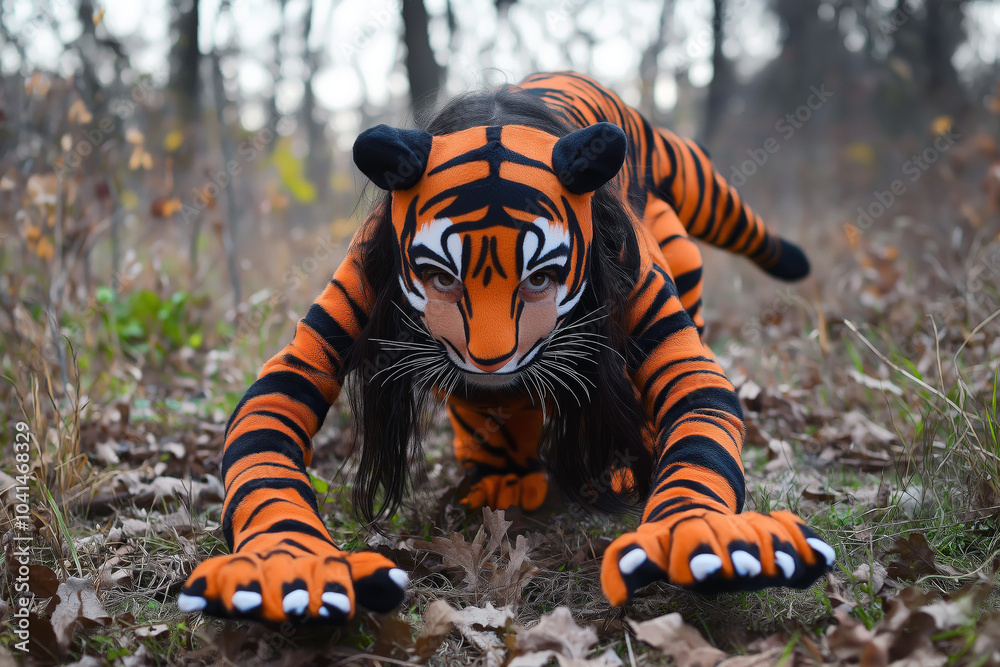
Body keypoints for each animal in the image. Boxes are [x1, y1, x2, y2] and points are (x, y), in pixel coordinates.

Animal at [179, 71, 833, 623]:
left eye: (540, 277)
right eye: (440, 276)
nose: (490, 357)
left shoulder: (643, 284)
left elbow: (700, 403)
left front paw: (703, 537)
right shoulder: (357, 281)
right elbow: (270, 409)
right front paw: (289, 565)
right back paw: (502, 481)